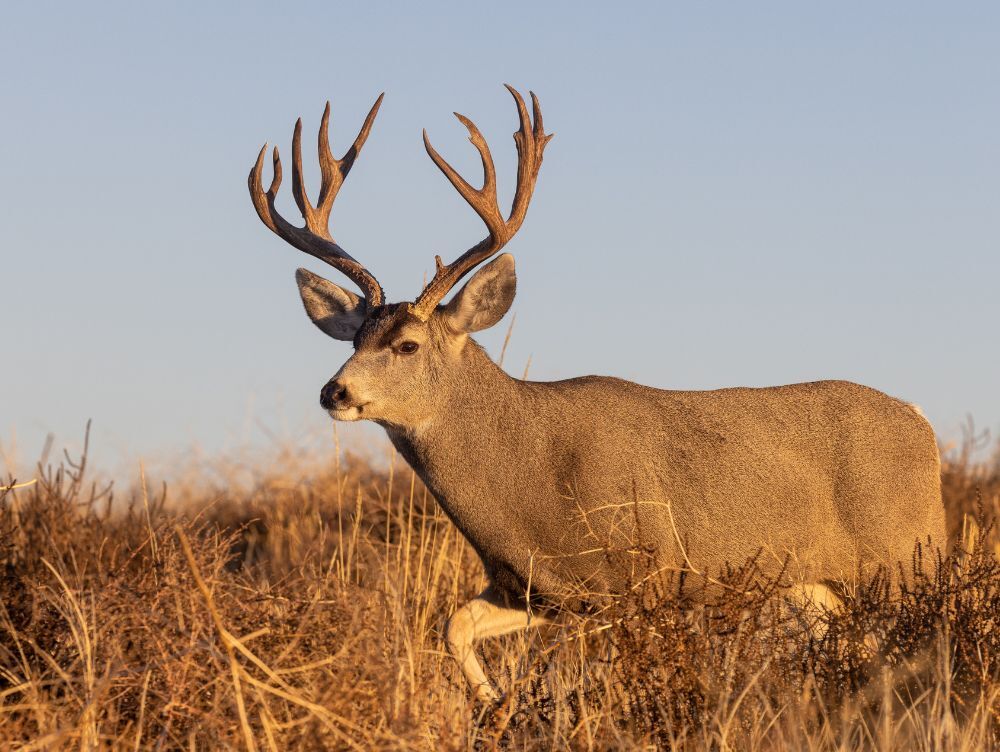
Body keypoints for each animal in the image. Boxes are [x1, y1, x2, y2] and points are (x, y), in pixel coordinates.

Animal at [248, 86, 947, 702]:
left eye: (408, 346)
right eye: (354, 336)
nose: (334, 391)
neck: (530, 479)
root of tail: (923, 423)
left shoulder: (646, 575)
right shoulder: (537, 589)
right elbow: (453, 626)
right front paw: (496, 702)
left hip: (909, 554)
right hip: (814, 584)